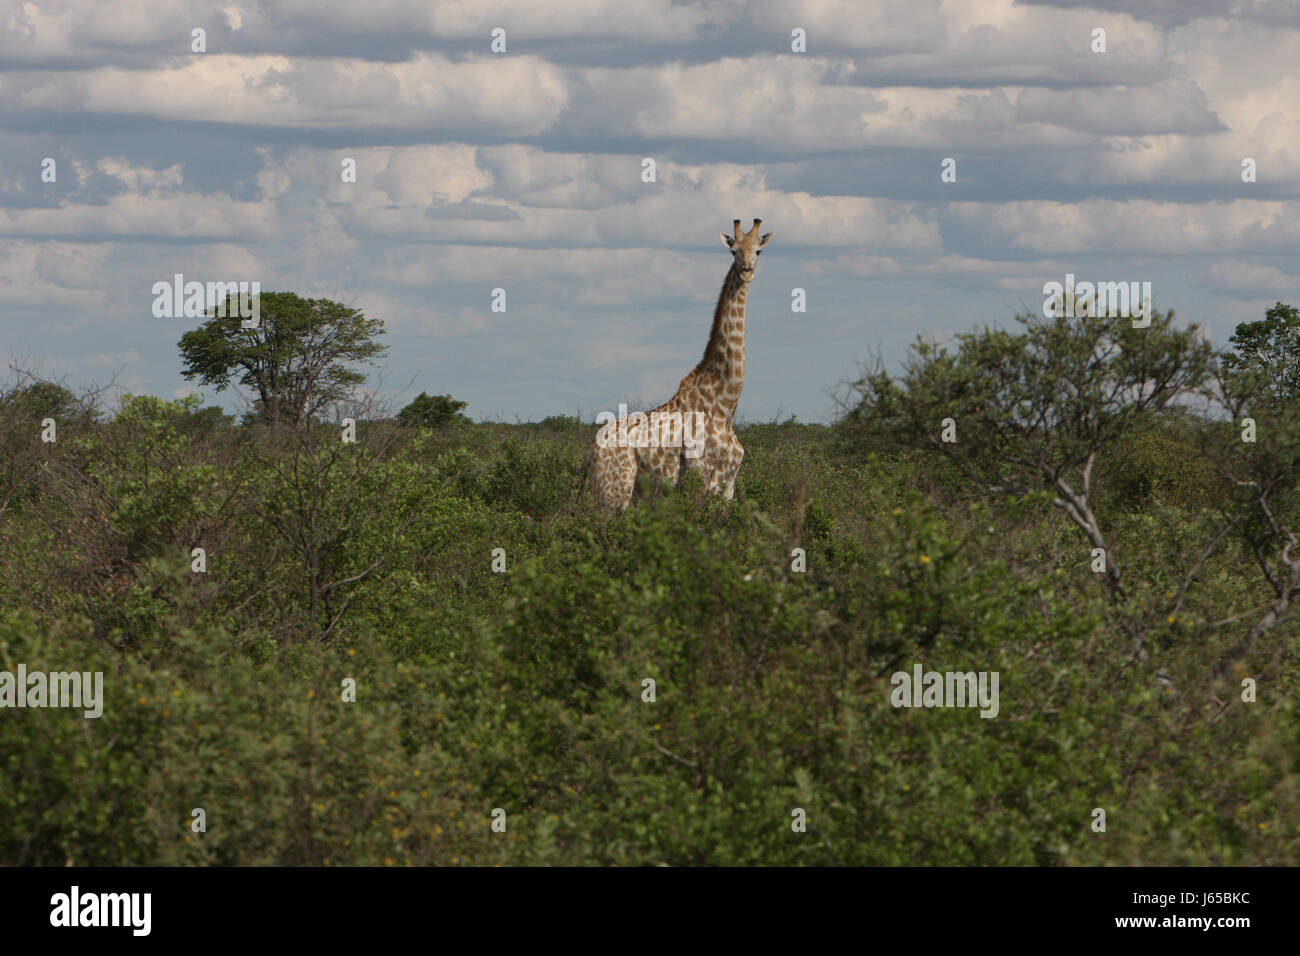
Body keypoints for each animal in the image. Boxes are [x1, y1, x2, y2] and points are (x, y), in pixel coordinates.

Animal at [583, 218, 771, 511]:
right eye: (733, 251)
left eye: (758, 251)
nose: (747, 270)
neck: (725, 406)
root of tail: (588, 454)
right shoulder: (699, 478)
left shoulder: (728, 485)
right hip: (613, 493)